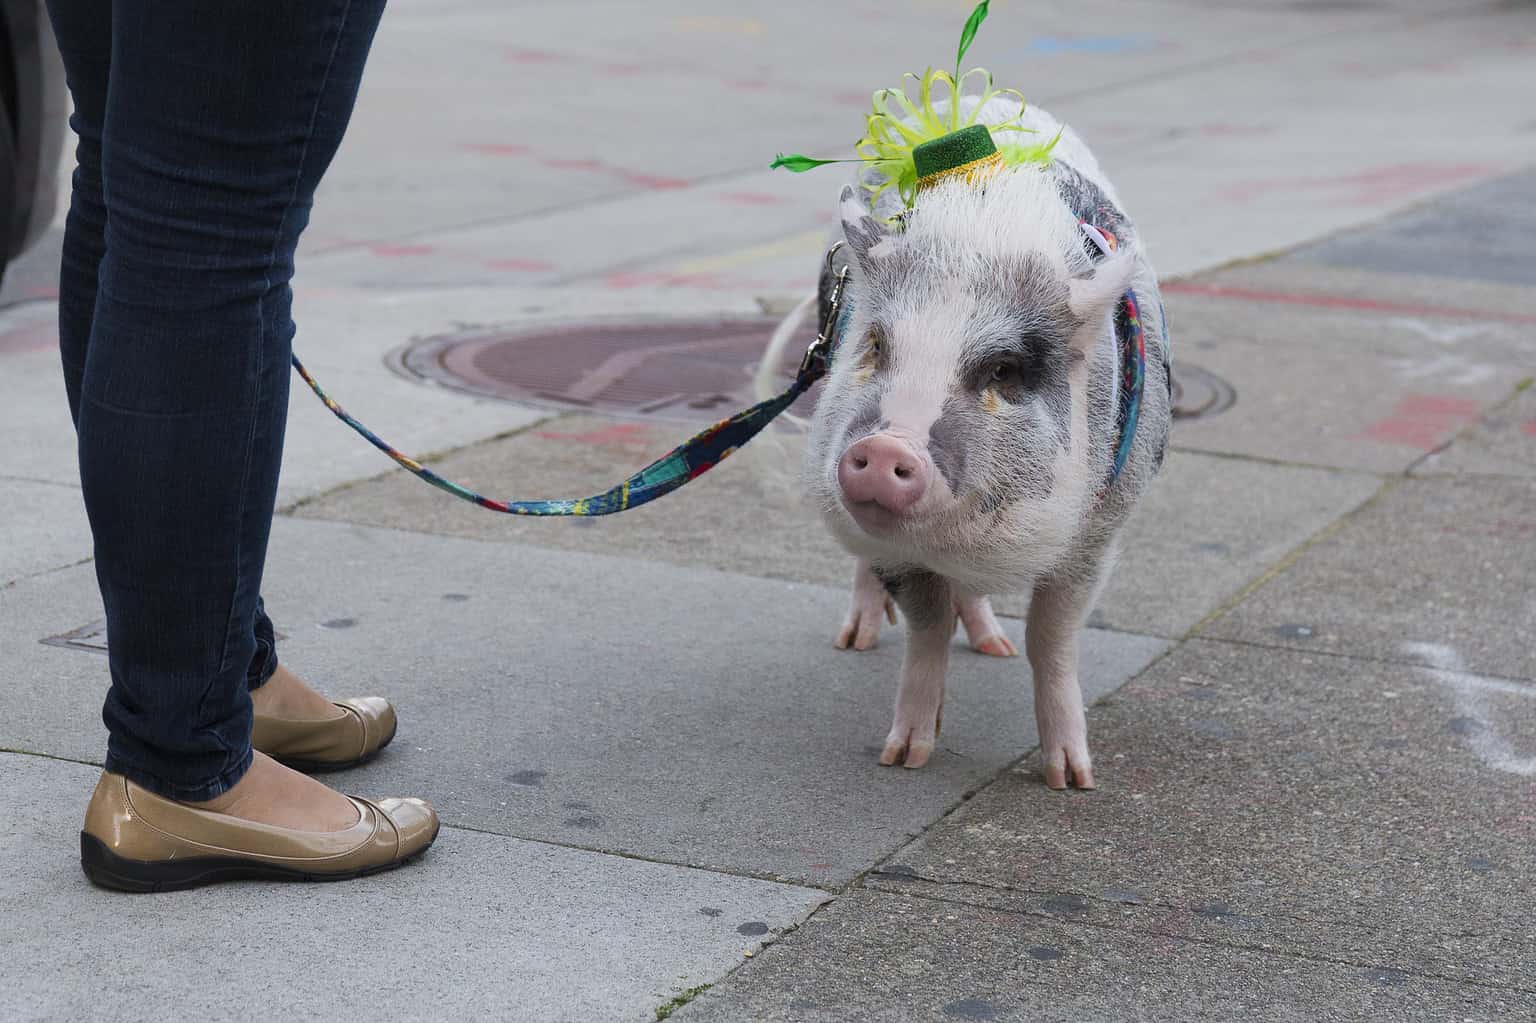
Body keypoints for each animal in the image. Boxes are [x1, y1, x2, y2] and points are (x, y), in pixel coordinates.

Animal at [761, 97, 1170, 789]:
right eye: (876, 346)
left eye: (1004, 370)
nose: (887, 449)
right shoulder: (897, 553)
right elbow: (927, 630)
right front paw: (903, 758)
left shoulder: (1098, 531)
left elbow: (1051, 639)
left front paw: (1071, 780)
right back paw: (857, 640)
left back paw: (992, 645)